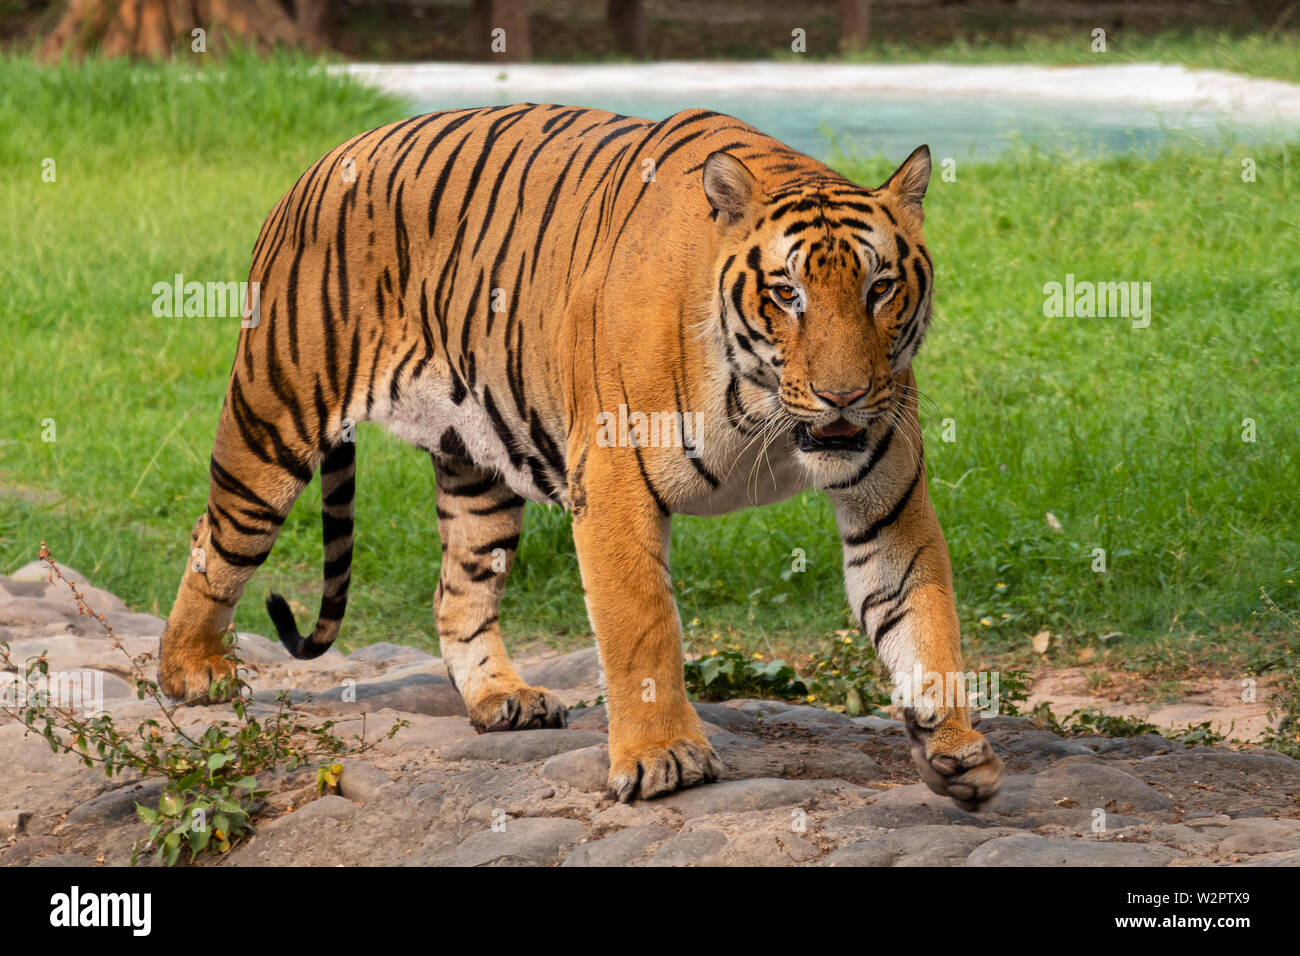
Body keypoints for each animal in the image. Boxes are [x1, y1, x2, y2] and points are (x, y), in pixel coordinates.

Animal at [158, 103, 1005, 809]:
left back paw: (500, 699)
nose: (843, 396)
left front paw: (954, 749)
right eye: (787, 295)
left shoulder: (888, 502)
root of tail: (322, 159)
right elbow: (641, 627)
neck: (763, 407)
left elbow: (923, 619)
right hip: (273, 416)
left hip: (479, 465)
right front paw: (662, 758)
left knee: (457, 592)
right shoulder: (616, 479)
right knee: (216, 538)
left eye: (880, 288)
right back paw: (192, 671)